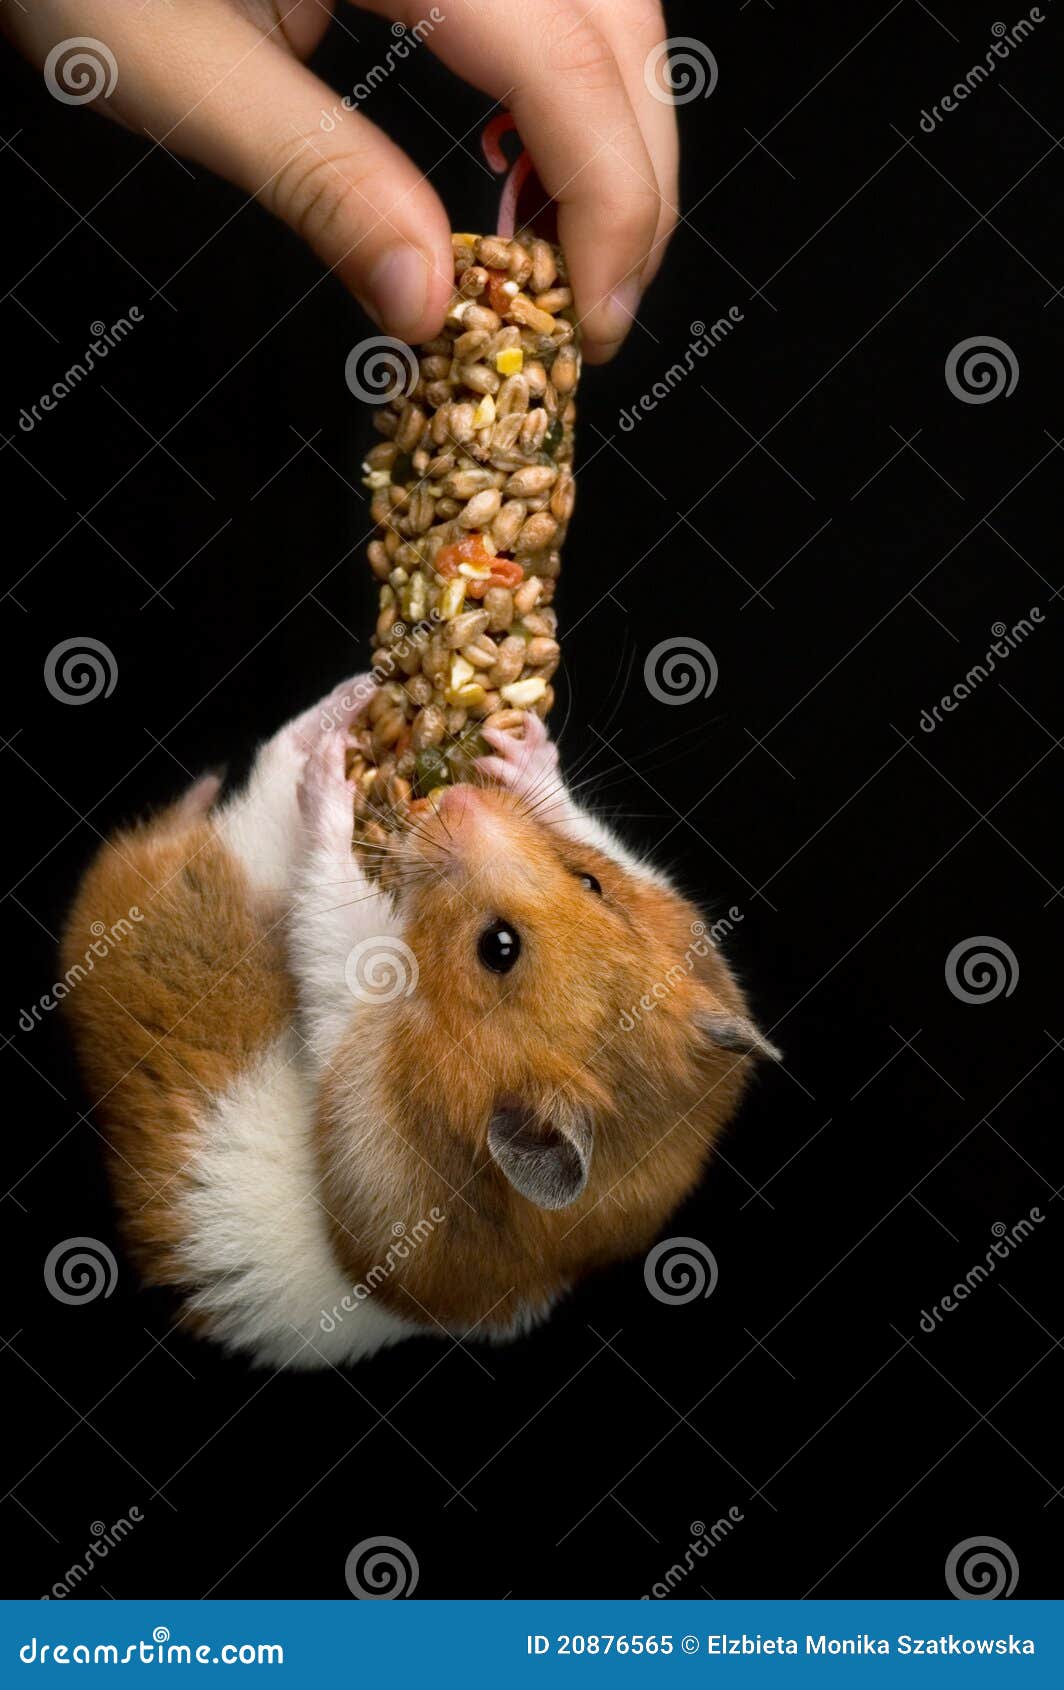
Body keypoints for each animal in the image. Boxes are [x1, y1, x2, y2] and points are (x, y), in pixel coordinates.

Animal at [59, 677, 779, 1369]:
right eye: (589, 883)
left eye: (498, 948)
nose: (457, 797)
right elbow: (606, 838)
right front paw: (517, 751)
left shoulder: (355, 1057)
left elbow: (339, 930)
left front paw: (339, 790)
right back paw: (347, 701)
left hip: (210, 880)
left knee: (258, 806)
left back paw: (320, 752)